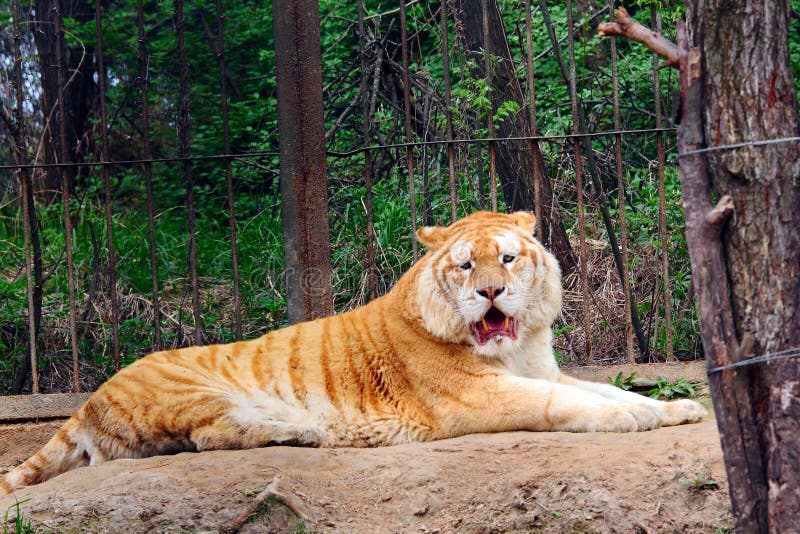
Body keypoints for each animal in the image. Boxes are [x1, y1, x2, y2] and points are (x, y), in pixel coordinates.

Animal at [1, 210, 706, 495]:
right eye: (466, 265)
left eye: (507, 258)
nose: (491, 293)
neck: (518, 346)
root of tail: (86, 403)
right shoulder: (475, 399)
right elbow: (565, 404)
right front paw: (638, 416)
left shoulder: (543, 368)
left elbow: (600, 387)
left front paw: (678, 410)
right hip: (192, 386)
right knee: (209, 436)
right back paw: (305, 432)